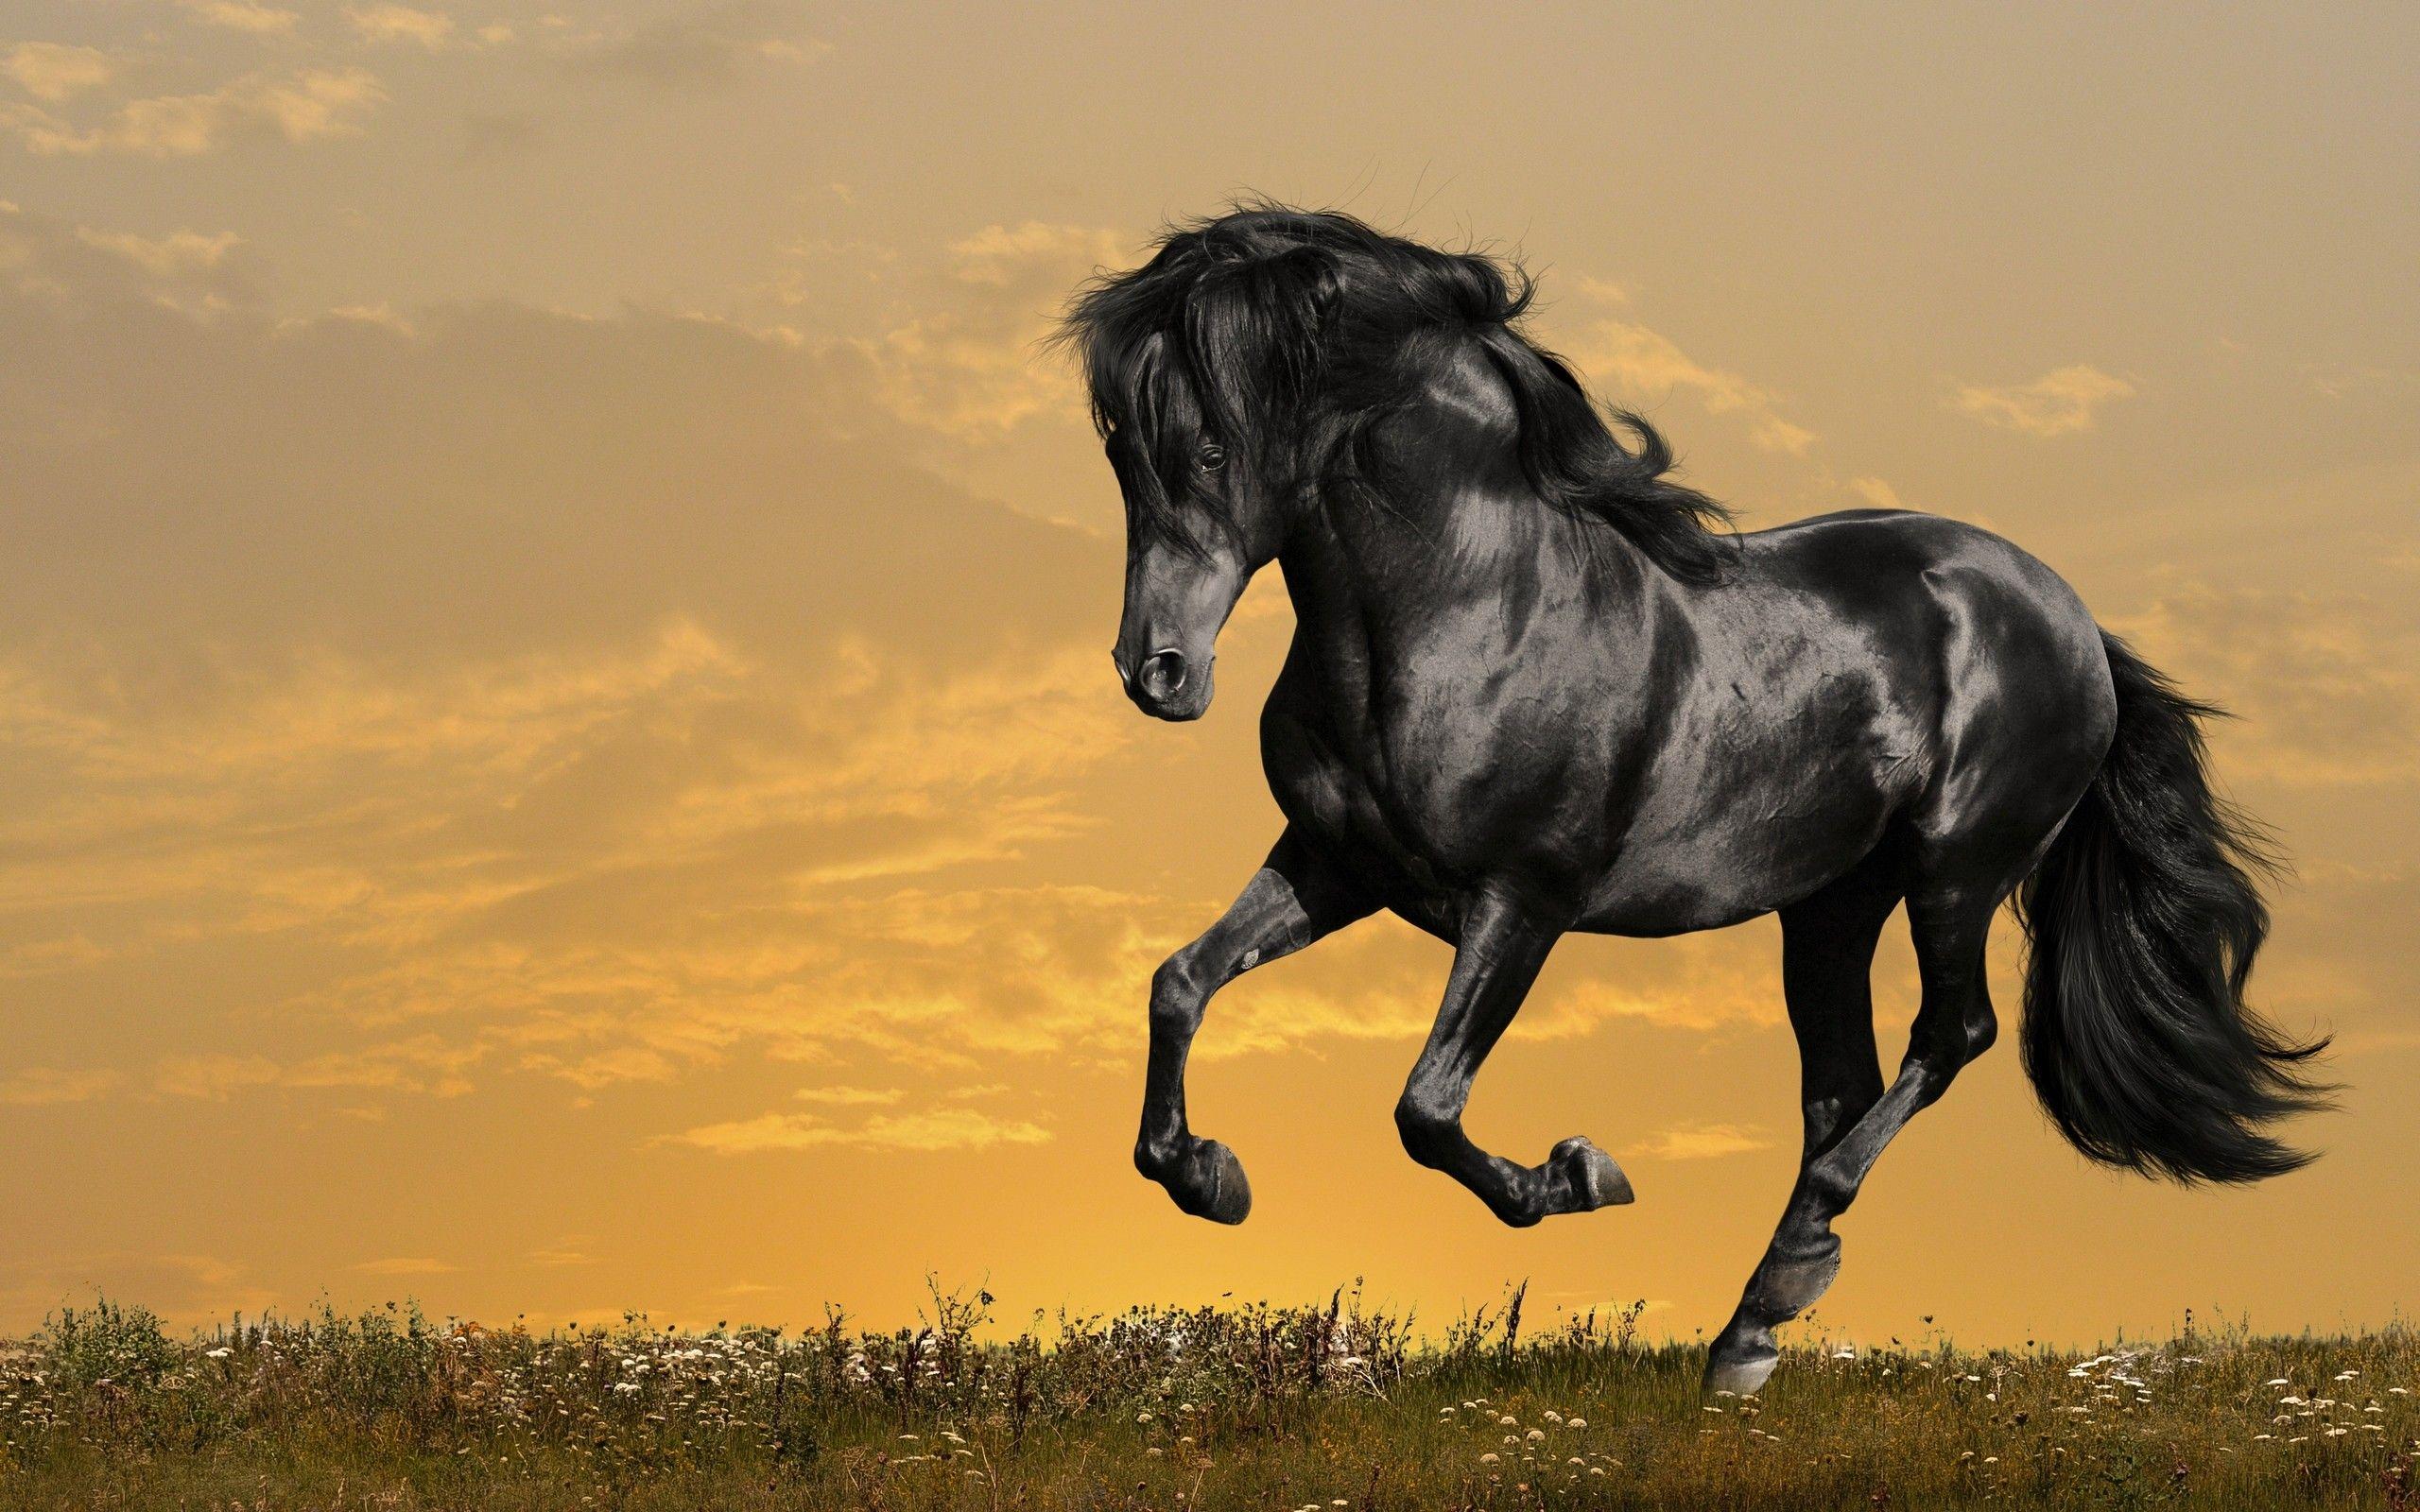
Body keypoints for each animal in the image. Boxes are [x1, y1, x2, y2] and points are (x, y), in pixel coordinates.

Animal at [1056, 204, 2329, 1394]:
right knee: (1841, 1086)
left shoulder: (1522, 901)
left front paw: (1578, 1173)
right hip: (1829, 906)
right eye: (1119, 450)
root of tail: (2069, 619)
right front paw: (1209, 1177)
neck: (1468, 610)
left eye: (1210, 449)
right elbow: (1180, 983)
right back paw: (1750, 1331)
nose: (1156, 672)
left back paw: (1782, 1279)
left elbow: (1427, 1108)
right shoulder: (1336, 865)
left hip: (1954, 873)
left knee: (1948, 1035)